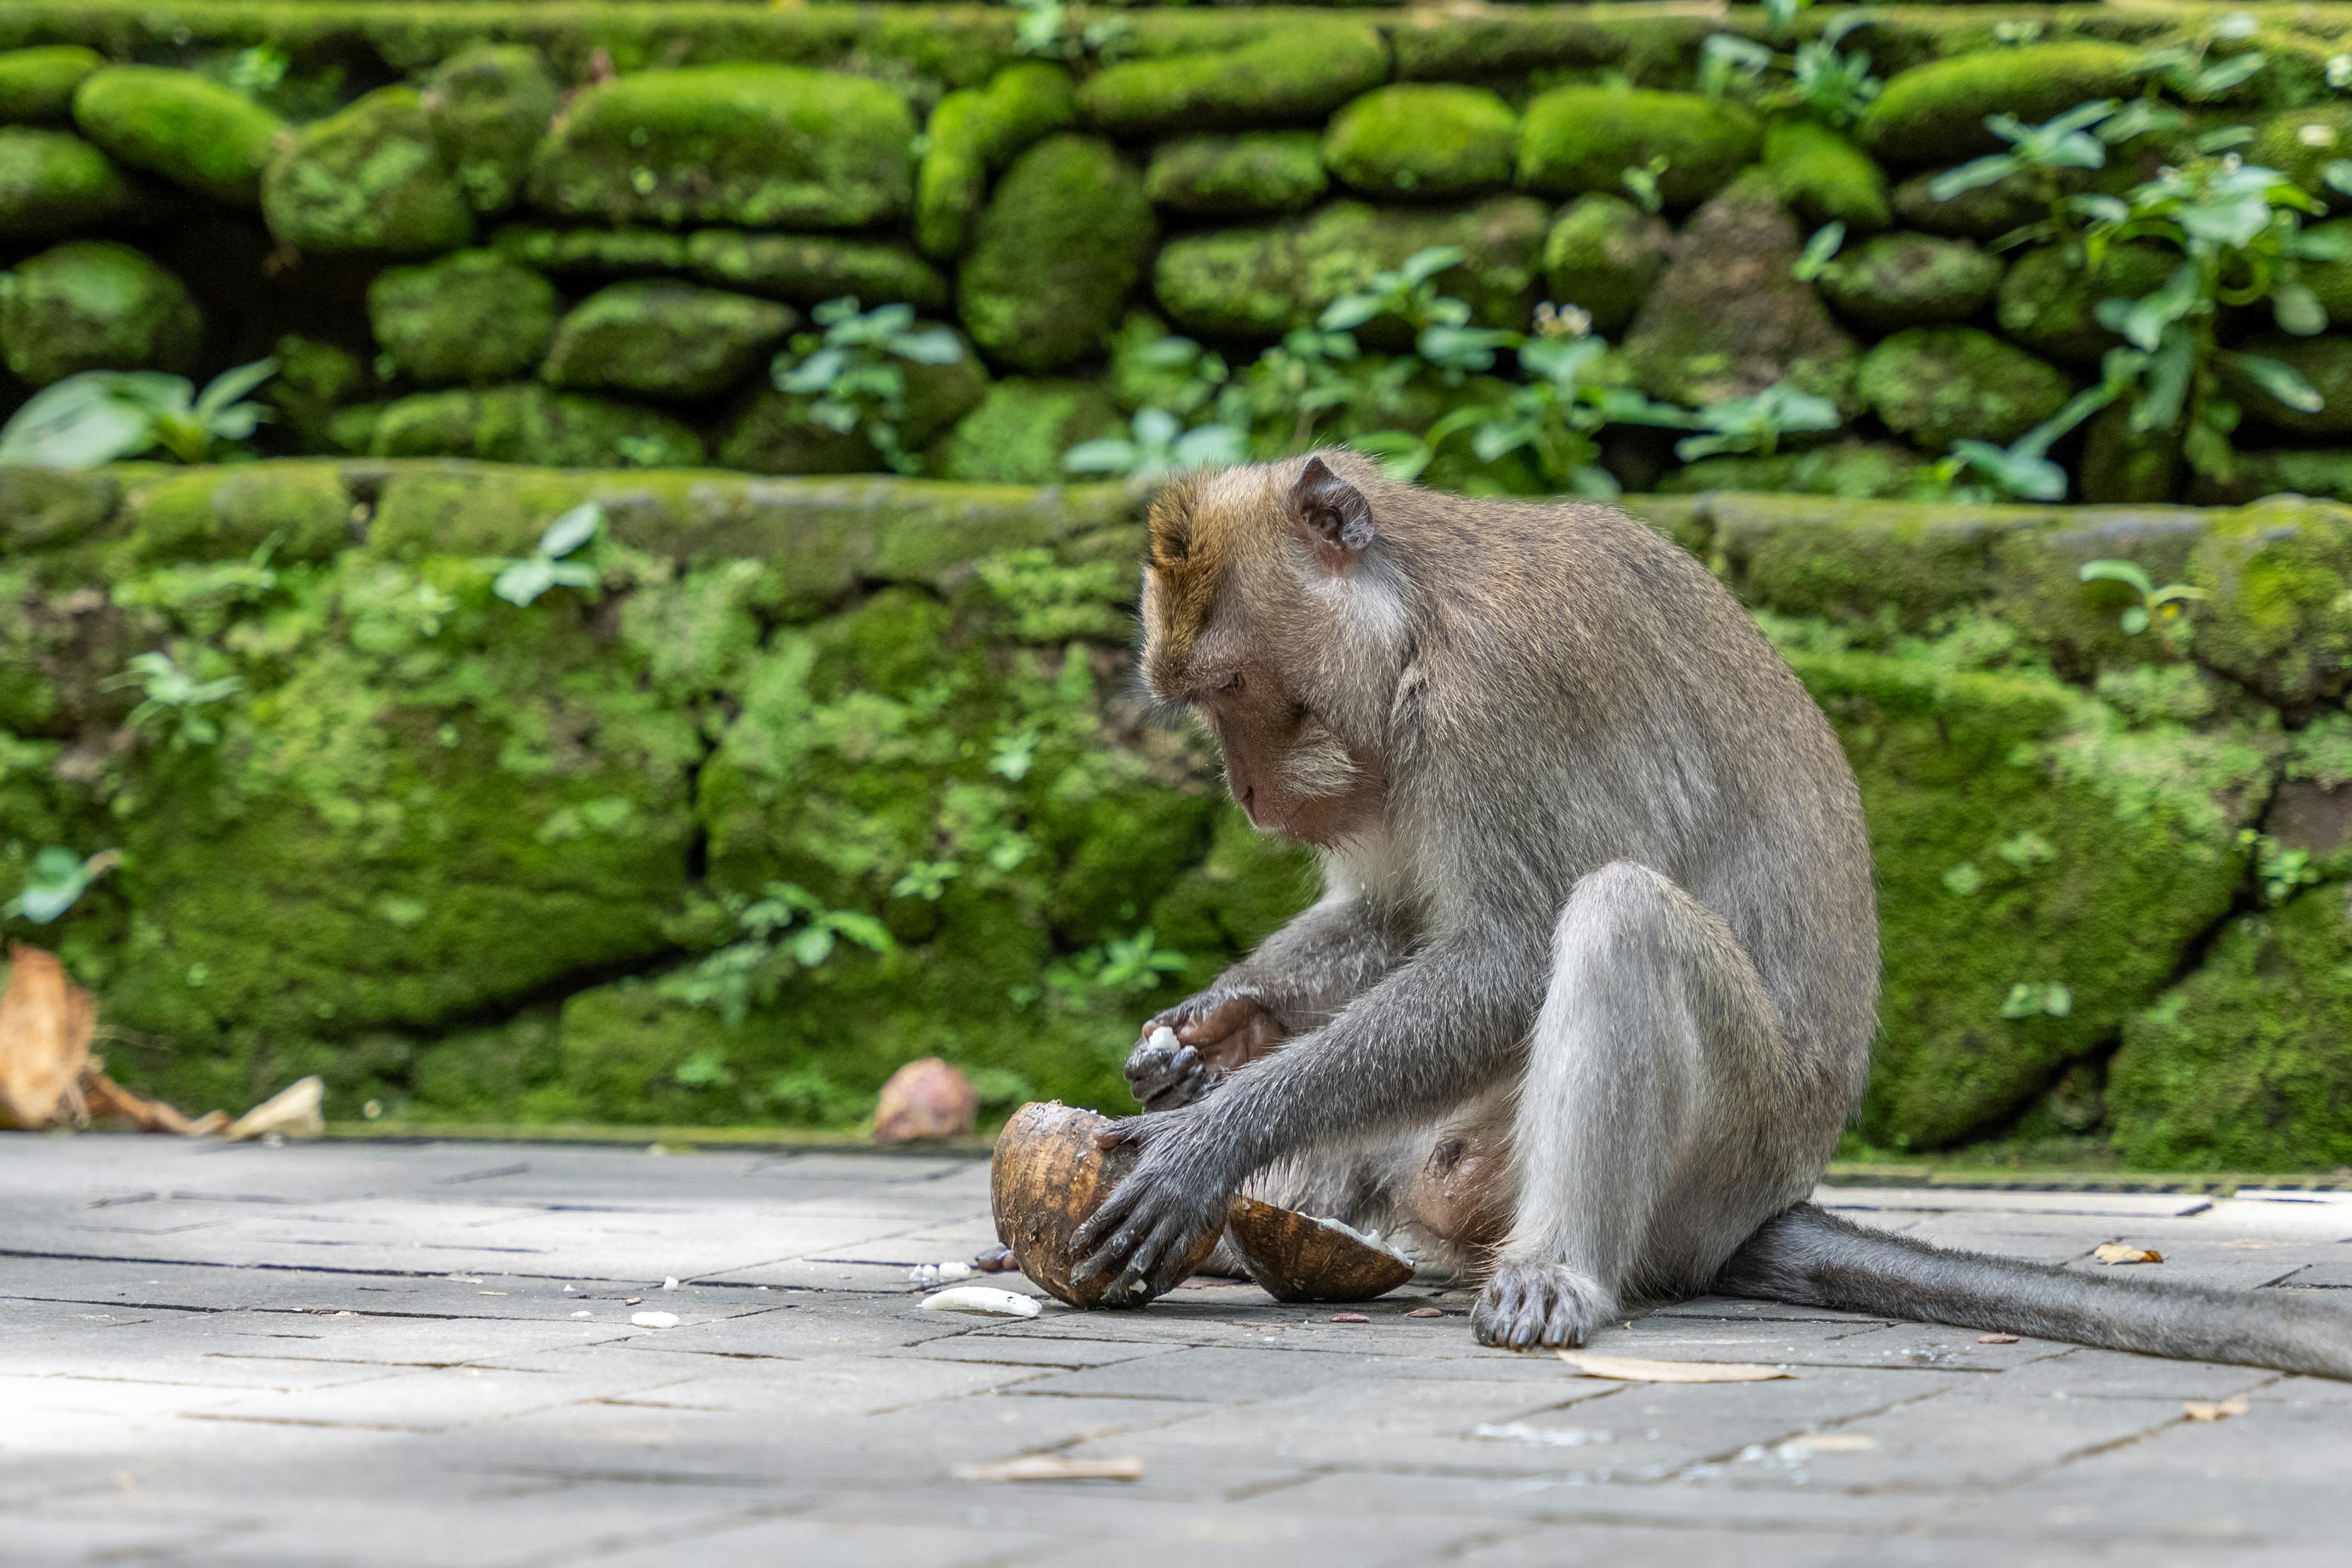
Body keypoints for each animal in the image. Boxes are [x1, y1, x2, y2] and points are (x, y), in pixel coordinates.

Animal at [1068, 449, 2352, 1380]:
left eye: (1233, 687)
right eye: (1199, 700)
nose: (1248, 793)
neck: (1418, 612)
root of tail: (1768, 1200)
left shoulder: (1503, 697)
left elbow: (1509, 956)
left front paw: (1212, 1136)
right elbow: (1394, 913)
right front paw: (1206, 1031)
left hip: (1722, 1149)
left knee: (1622, 917)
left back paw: (1558, 1272)